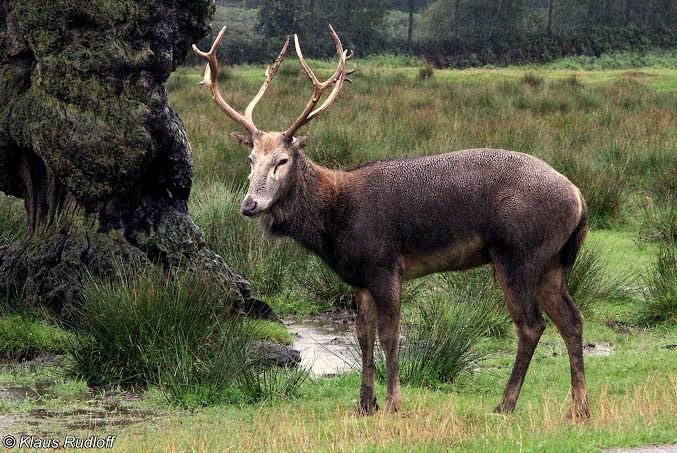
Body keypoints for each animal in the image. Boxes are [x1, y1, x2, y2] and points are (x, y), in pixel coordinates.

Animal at [193, 25, 591, 419]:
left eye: (283, 160)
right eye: (250, 159)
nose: (250, 204)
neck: (336, 225)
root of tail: (579, 198)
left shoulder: (386, 265)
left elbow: (390, 335)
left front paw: (394, 403)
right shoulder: (360, 278)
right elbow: (363, 336)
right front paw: (364, 403)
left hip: (519, 253)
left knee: (531, 324)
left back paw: (506, 403)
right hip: (552, 262)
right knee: (572, 319)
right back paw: (579, 408)